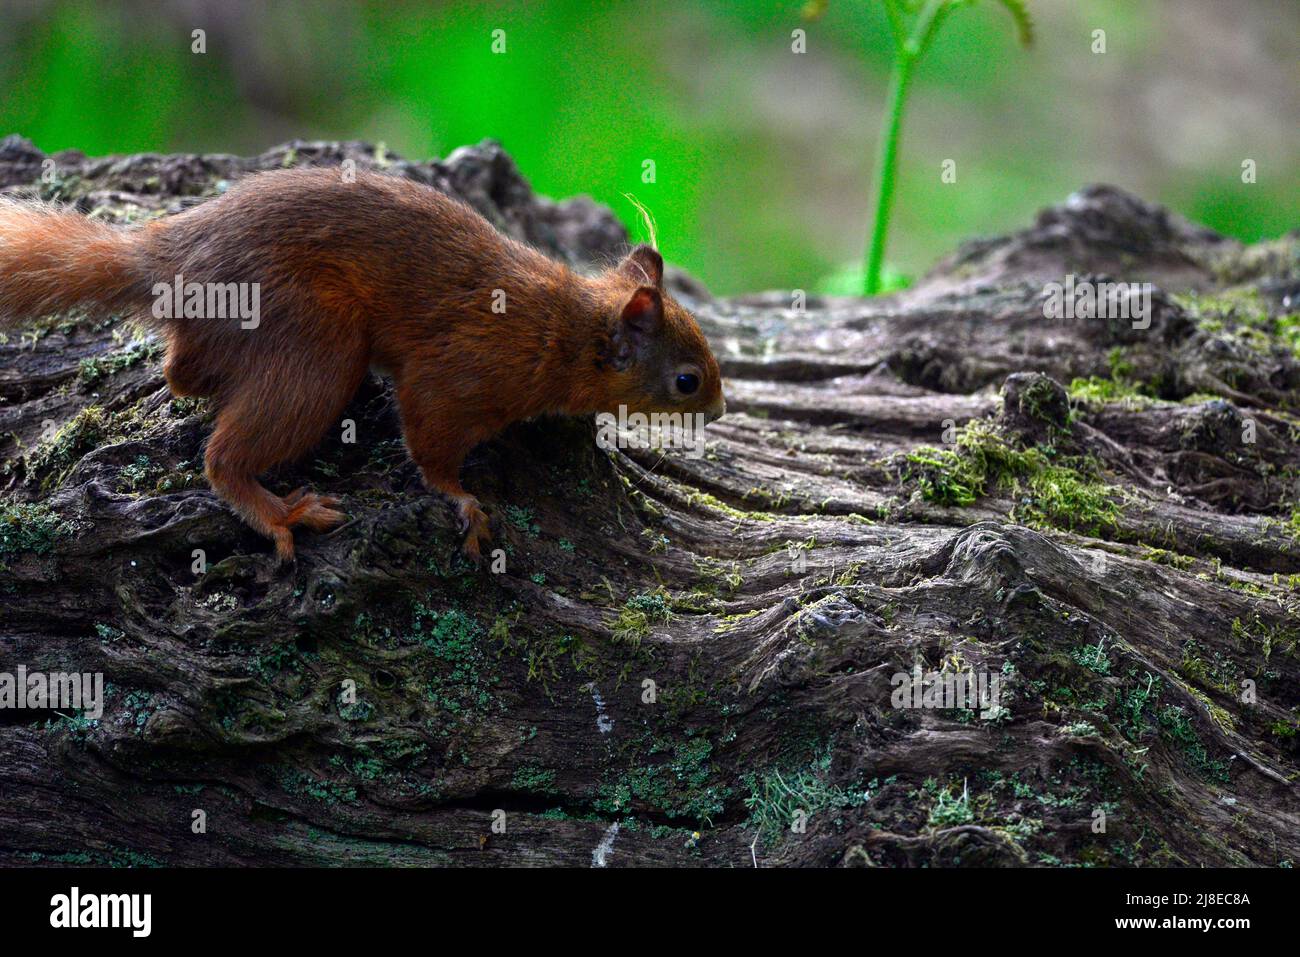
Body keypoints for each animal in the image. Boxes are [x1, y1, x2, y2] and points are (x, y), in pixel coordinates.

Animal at [0, 167, 726, 560]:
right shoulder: (463, 371)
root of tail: (166, 260)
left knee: (182, 370)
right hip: (321, 347)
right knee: (222, 457)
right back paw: (278, 514)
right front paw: (465, 503)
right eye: (686, 381)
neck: (568, 330)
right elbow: (430, 441)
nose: (718, 409)